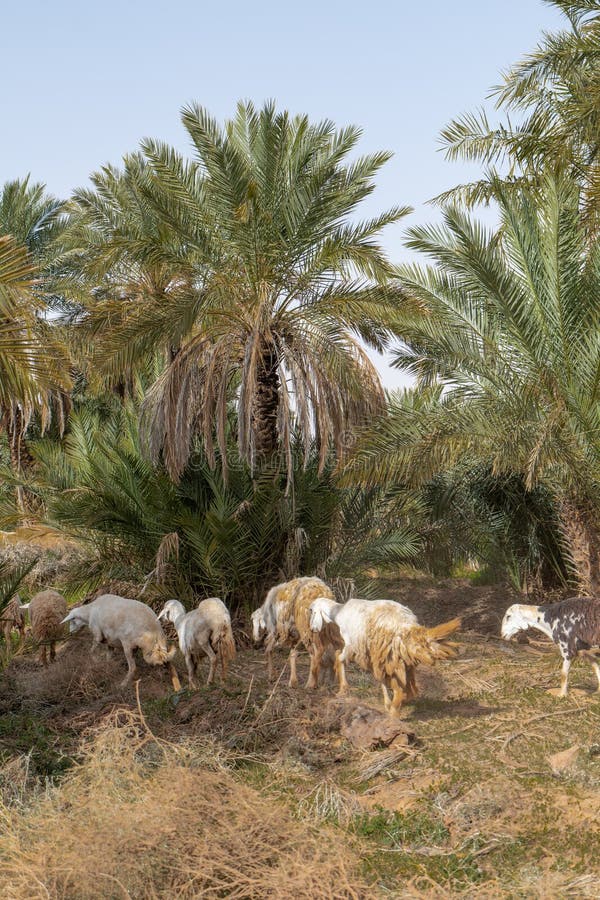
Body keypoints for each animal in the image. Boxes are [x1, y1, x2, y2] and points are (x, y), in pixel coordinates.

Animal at [310, 596, 460, 716]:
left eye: (311, 610)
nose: (312, 629)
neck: (338, 611)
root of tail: (409, 628)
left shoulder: (352, 644)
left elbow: (339, 658)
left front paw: (342, 689)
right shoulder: (373, 654)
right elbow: (379, 678)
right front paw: (386, 702)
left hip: (391, 656)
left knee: (398, 688)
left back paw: (394, 711)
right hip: (401, 658)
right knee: (407, 682)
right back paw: (405, 699)